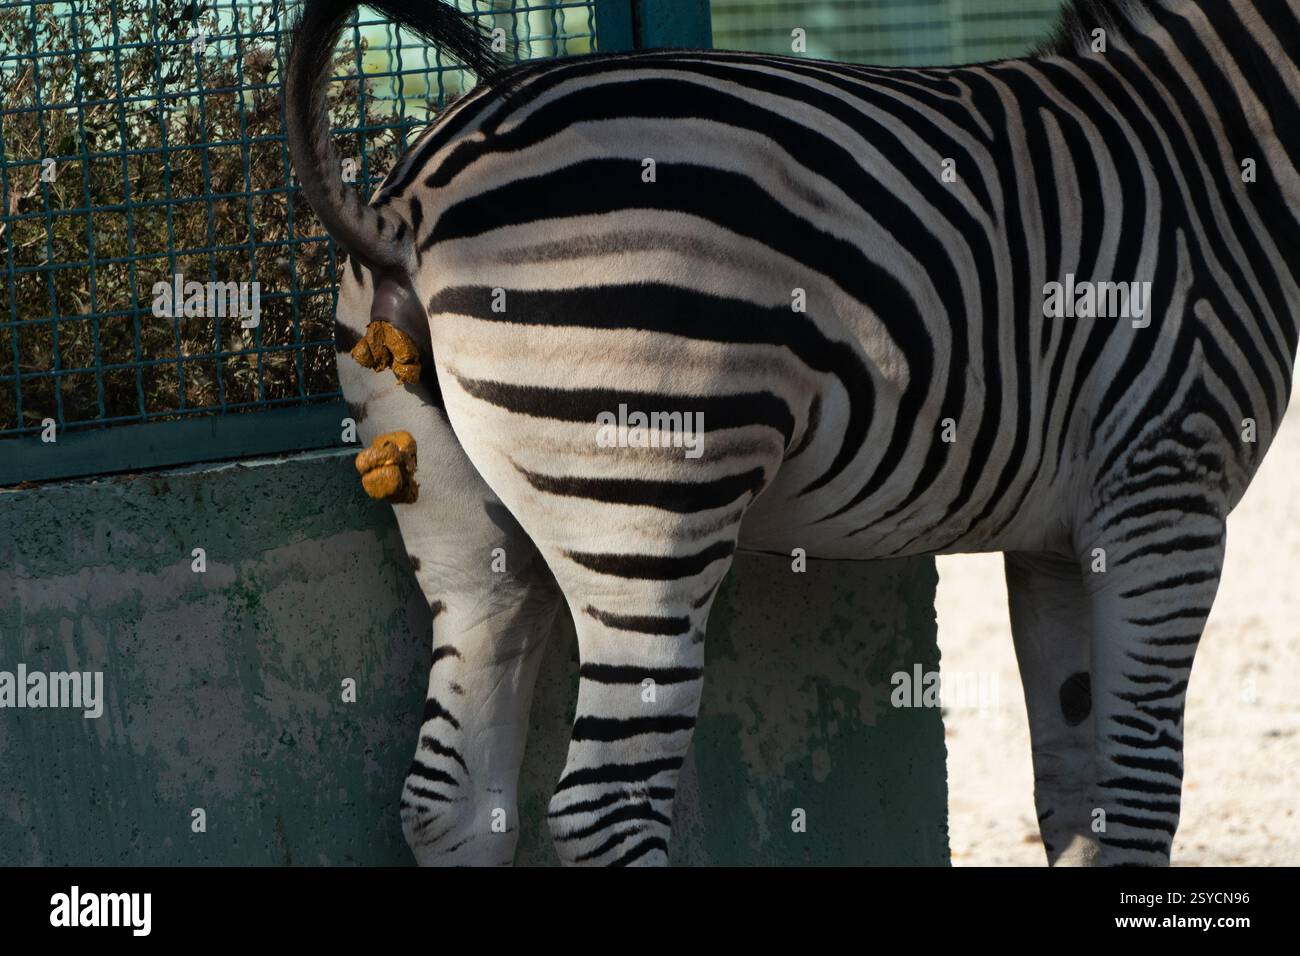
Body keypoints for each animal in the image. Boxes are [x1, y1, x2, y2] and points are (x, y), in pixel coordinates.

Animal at [286, 0, 1300, 866]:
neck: (1210, 150)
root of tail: (410, 199)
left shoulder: (1057, 539)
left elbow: (1074, 797)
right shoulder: (1166, 490)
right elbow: (1137, 797)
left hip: (460, 524)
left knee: (451, 799)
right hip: (646, 508)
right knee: (603, 807)